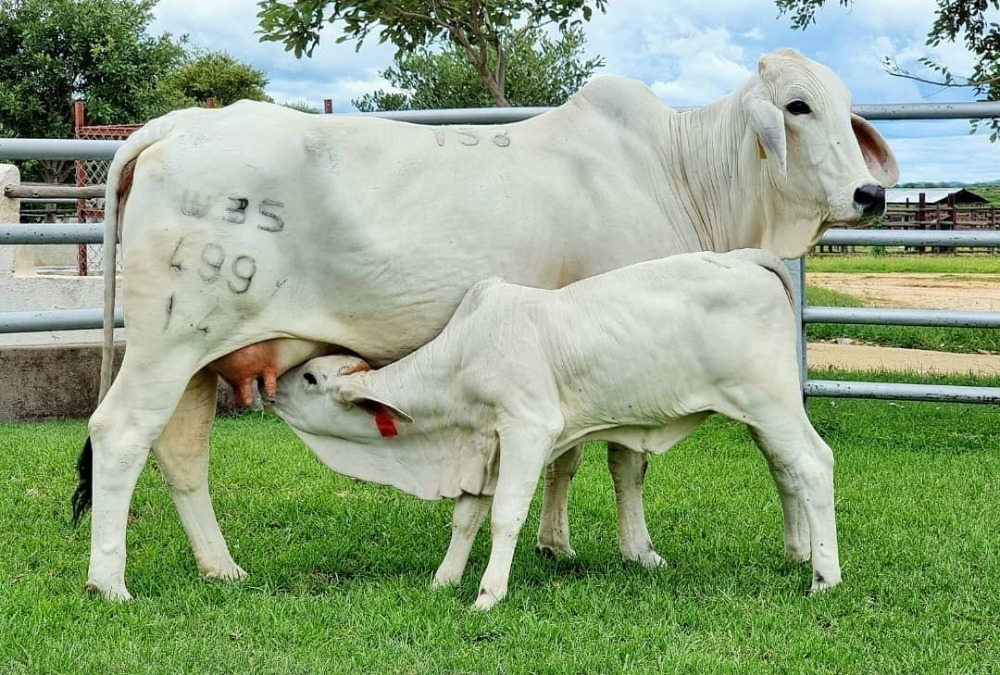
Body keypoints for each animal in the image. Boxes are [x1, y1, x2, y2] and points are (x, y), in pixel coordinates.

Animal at [266, 248, 837, 610]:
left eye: (311, 377)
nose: (268, 385)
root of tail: (746, 256)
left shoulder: (528, 427)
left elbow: (505, 515)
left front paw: (487, 595)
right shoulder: (486, 445)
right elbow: (465, 518)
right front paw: (444, 581)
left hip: (771, 401)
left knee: (815, 465)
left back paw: (824, 579)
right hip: (764, 413)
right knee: (785, 471)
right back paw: (798, 554)